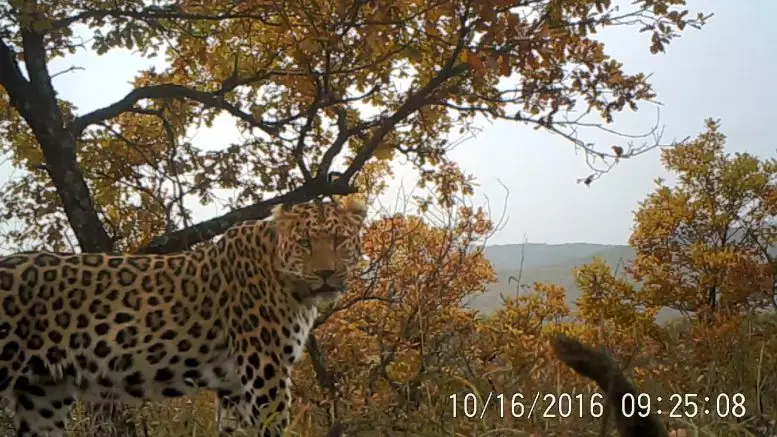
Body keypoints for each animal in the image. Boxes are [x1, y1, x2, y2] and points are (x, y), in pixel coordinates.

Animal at [0, 197, 368, 436]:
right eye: (305, 243)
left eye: (339, 240)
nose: (325, 274)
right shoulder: (264, 369)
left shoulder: (233, 386)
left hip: (44, 399)